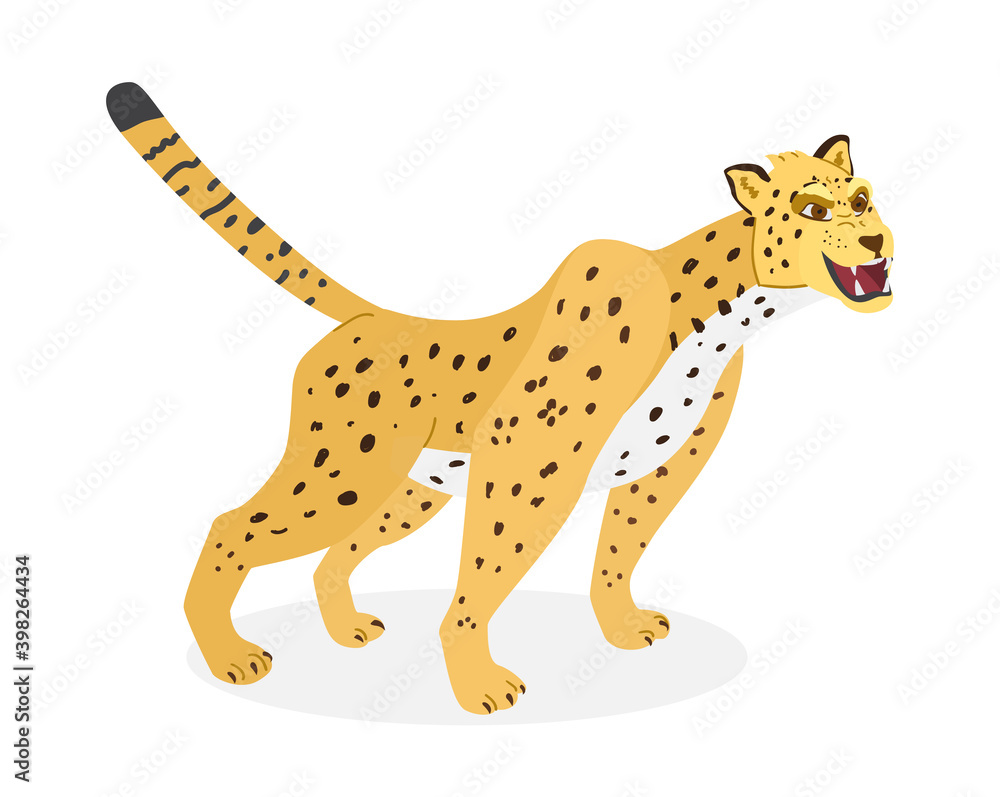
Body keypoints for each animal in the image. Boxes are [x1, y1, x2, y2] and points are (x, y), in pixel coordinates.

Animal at [107, 81, 895, 715]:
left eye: (861, 199)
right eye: (813, 207)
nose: (879, 239)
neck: (731, 311)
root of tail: (375, 317)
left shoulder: (657, 469)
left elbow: (616, 554)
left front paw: (621, 629)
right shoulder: (529, 468)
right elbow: (485, 580)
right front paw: (478, 686)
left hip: (407, 487)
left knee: (333, 552)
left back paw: (347, 630)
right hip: (344, 472)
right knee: (230, 527)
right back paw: (230, 656)